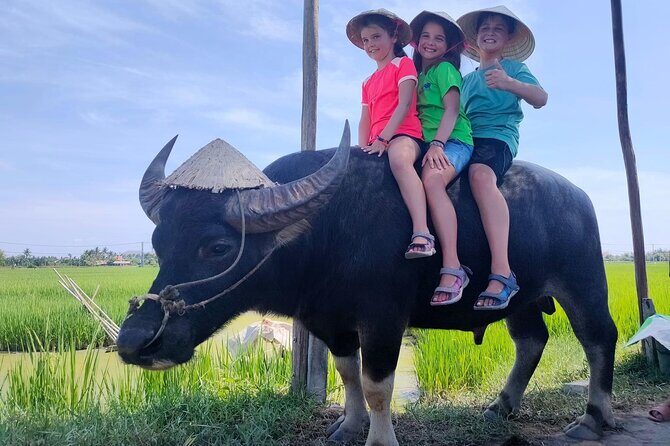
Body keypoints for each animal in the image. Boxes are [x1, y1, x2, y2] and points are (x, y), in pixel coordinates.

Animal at [118, 123, 617, 445]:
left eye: (218, 247)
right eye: (159, 242)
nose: (135, 342)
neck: (327, 230)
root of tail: (581, 198)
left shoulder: (383, 320)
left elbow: (378, 384)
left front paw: (379, 439)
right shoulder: (331, 321)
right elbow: (348, 373)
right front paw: (348, 427)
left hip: (583, 282)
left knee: (598, 338)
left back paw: (593, 418)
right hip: (521, 298)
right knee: (531, 340)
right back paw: (501, 406)